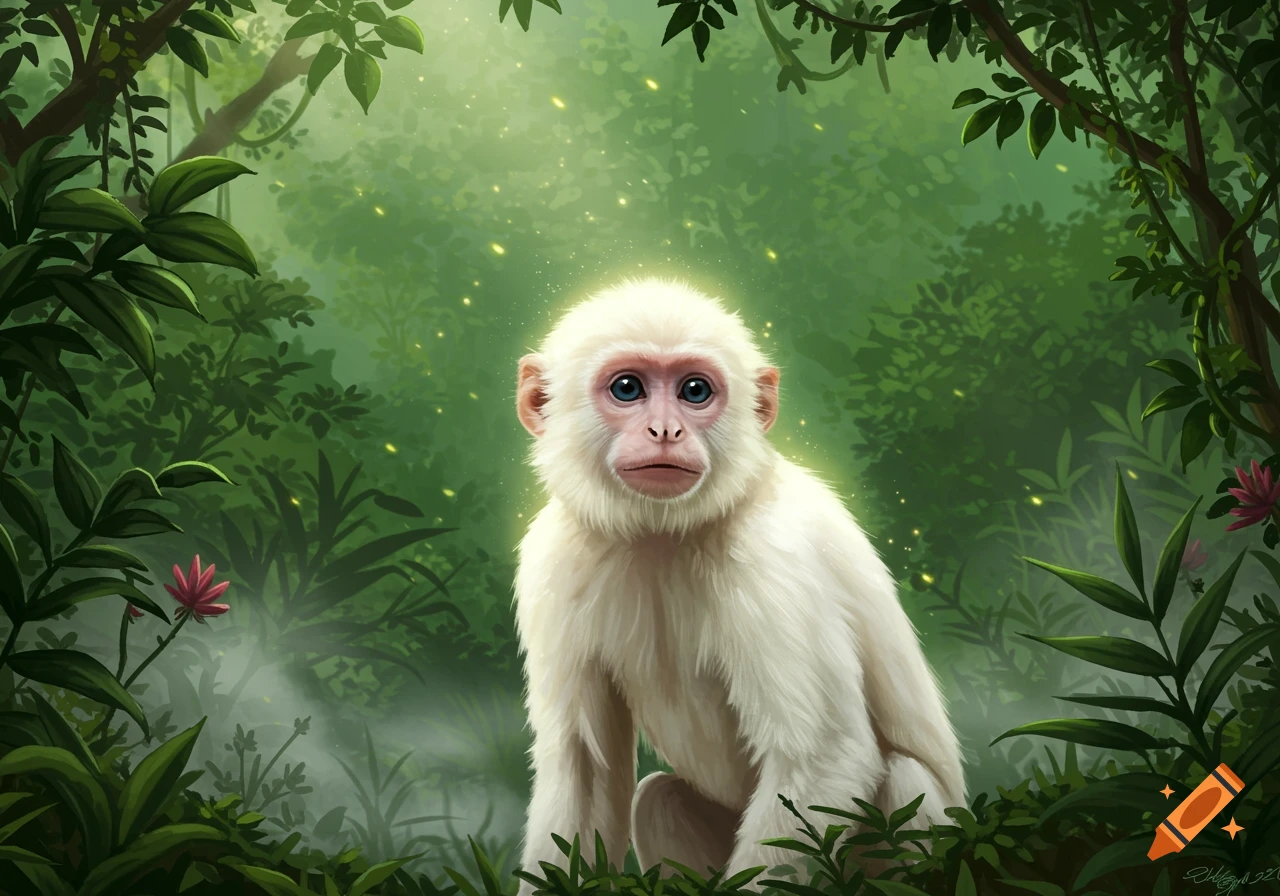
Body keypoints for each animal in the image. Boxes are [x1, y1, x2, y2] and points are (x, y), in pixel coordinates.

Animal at [512, 279, 964, 889]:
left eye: (695, 391)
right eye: (628, 388)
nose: (665, 430)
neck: (663, 536)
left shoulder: (772, 559)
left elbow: (824, 757)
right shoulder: (551, 561)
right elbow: (583, 768)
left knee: (903, 776)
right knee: (658, 799)